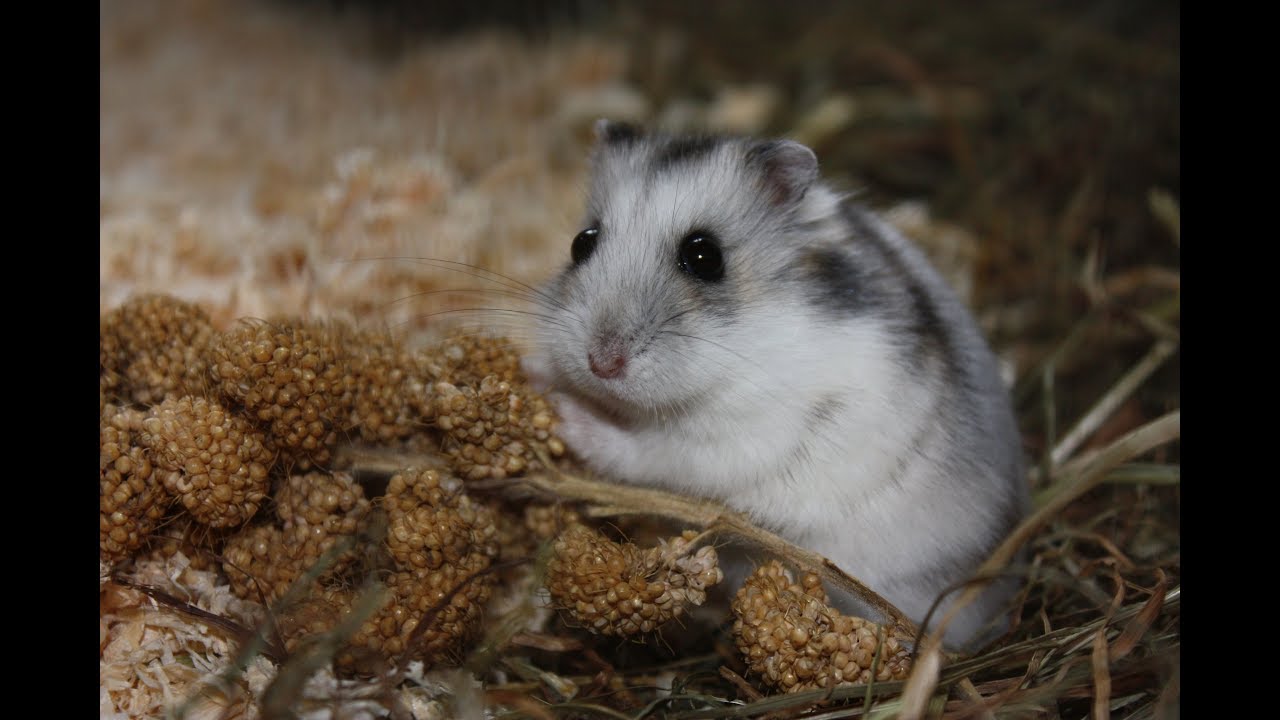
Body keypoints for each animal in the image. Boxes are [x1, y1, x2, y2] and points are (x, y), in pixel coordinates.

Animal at [524, 120, 1028, 649]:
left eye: (704, 256)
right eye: (581, 243)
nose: (601, 363)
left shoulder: (732, 441)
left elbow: (641, 451)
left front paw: (566, 413)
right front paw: (535, 371)